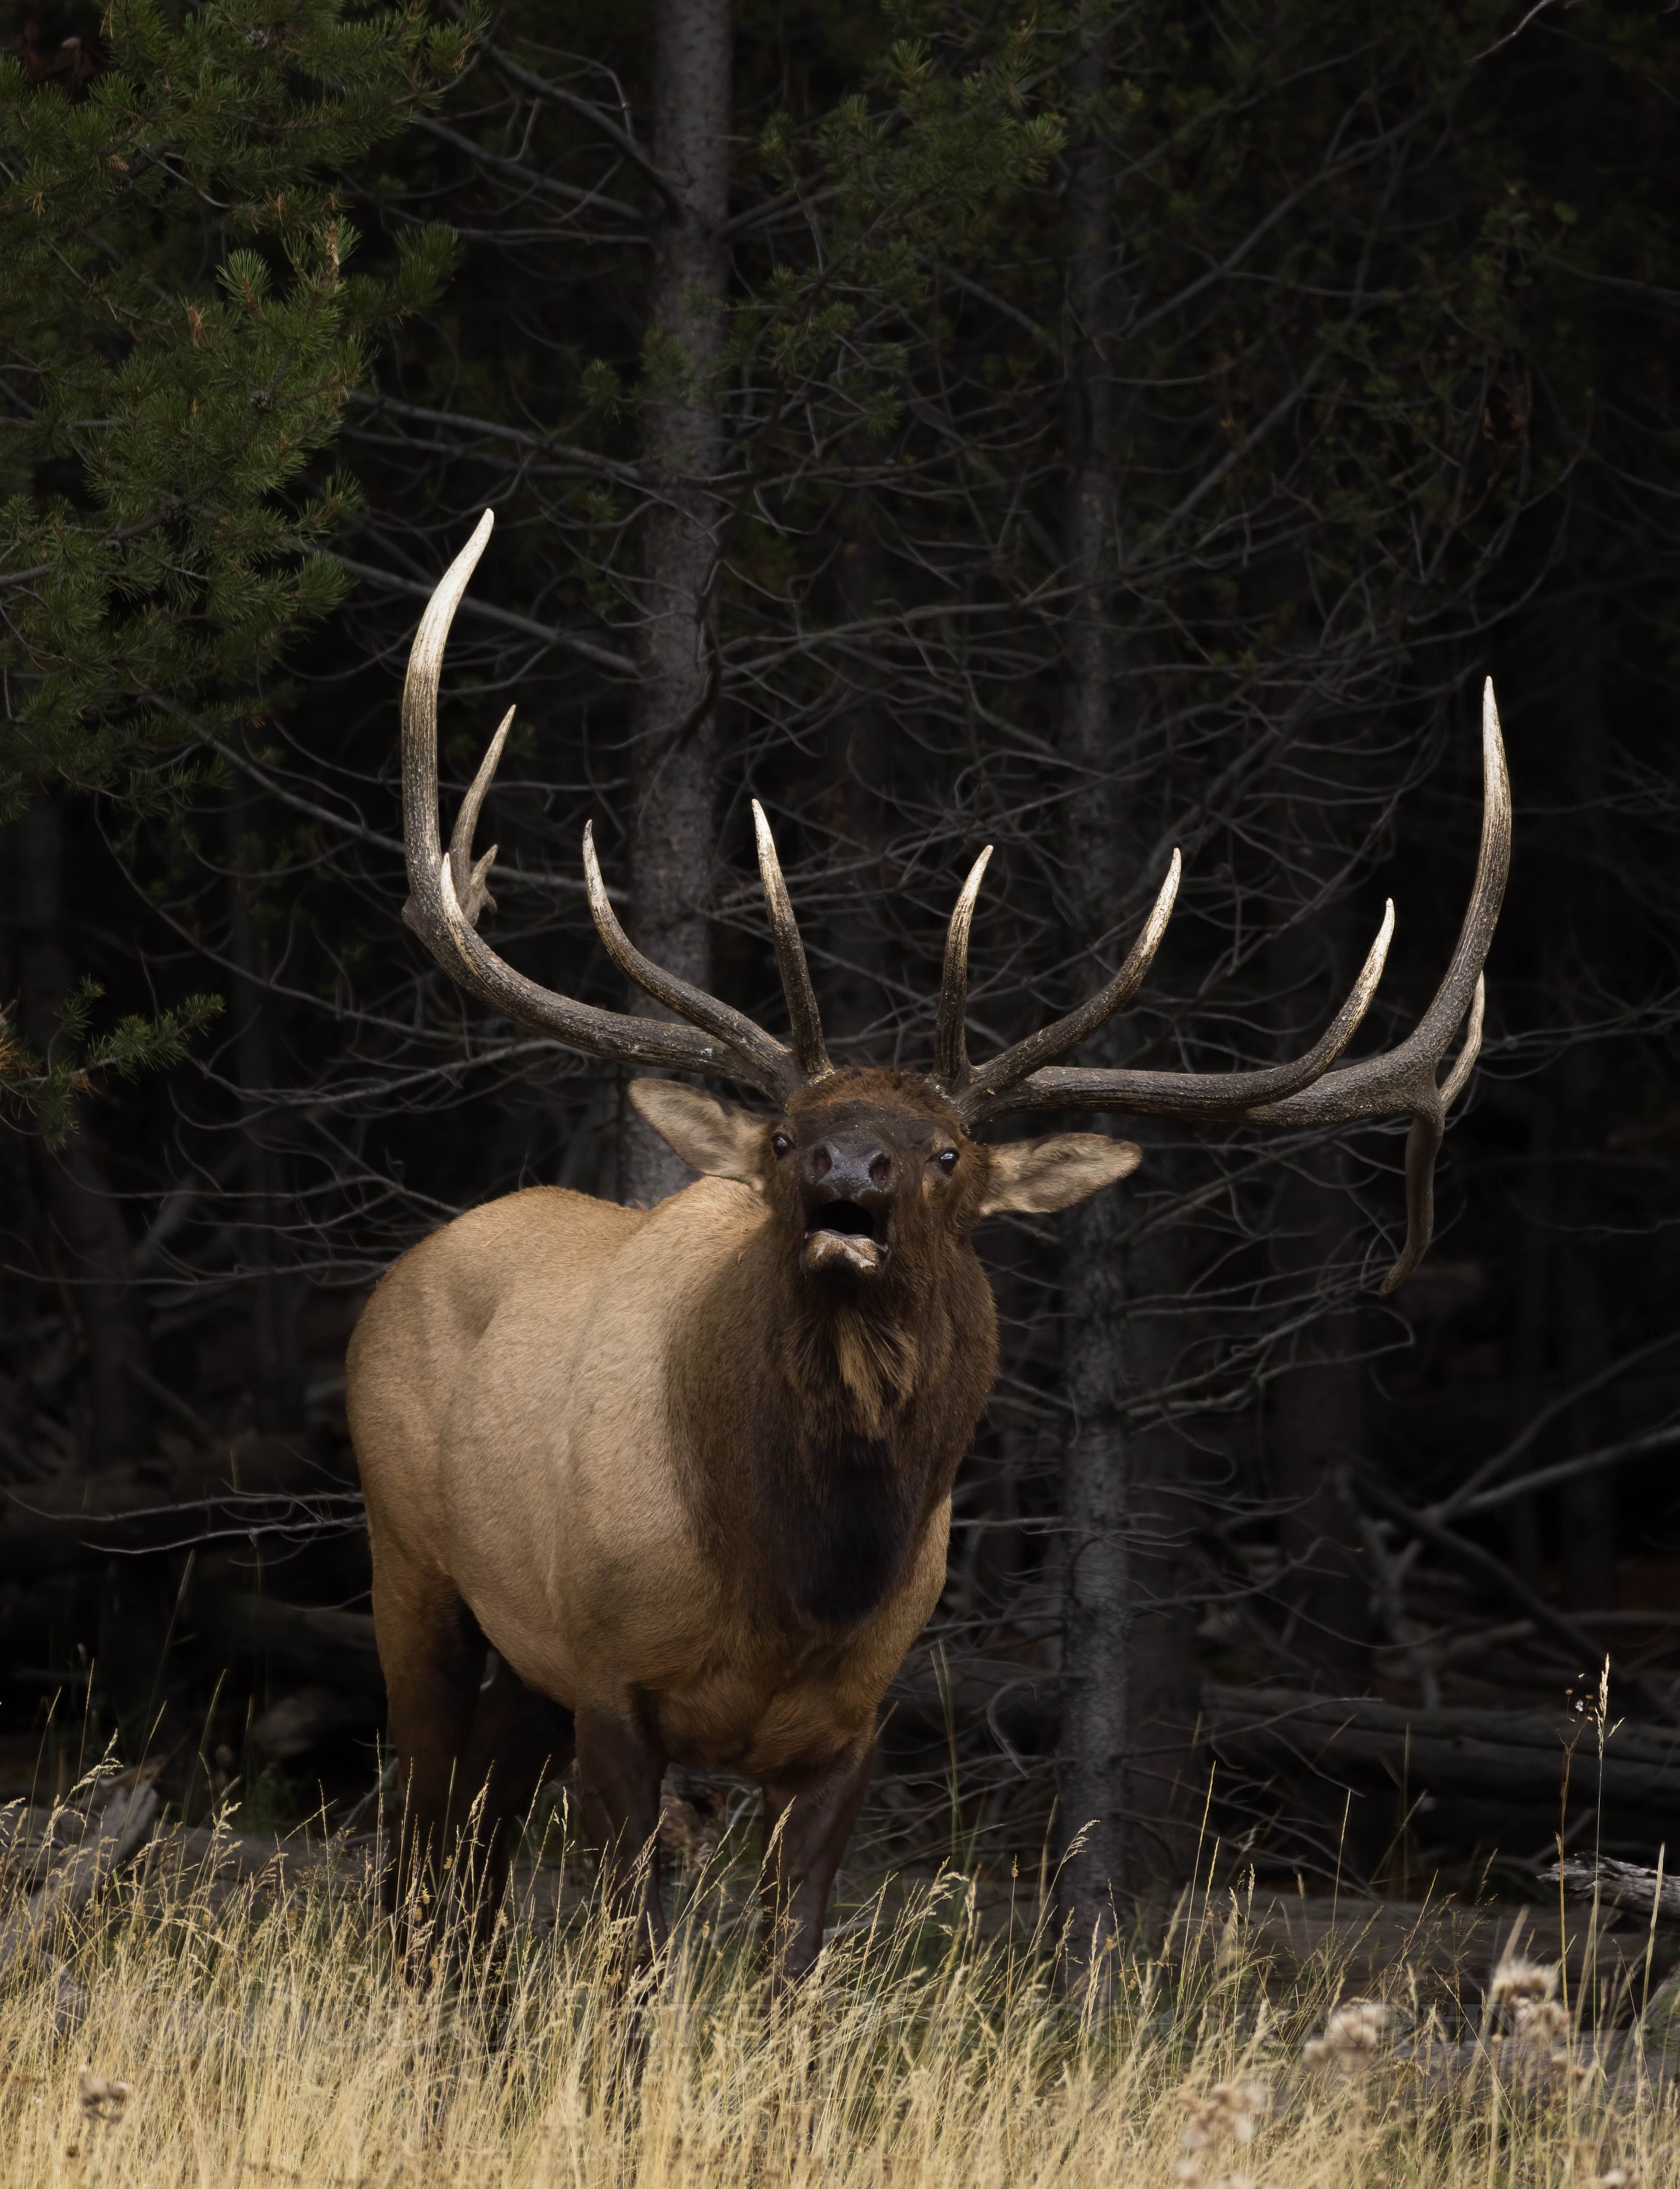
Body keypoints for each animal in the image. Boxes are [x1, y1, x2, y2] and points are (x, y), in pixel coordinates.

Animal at [346, 510, 1510, 1979]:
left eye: (949, 1153)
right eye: (787, 1134)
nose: (849, 1169)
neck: (797, 1583)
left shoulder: (851, 1726)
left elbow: (790, 1962)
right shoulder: (613, 1678)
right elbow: (631, 1962)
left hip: (519, 1666)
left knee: (475, 1864)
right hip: (414, 1566)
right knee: (420, 1849)